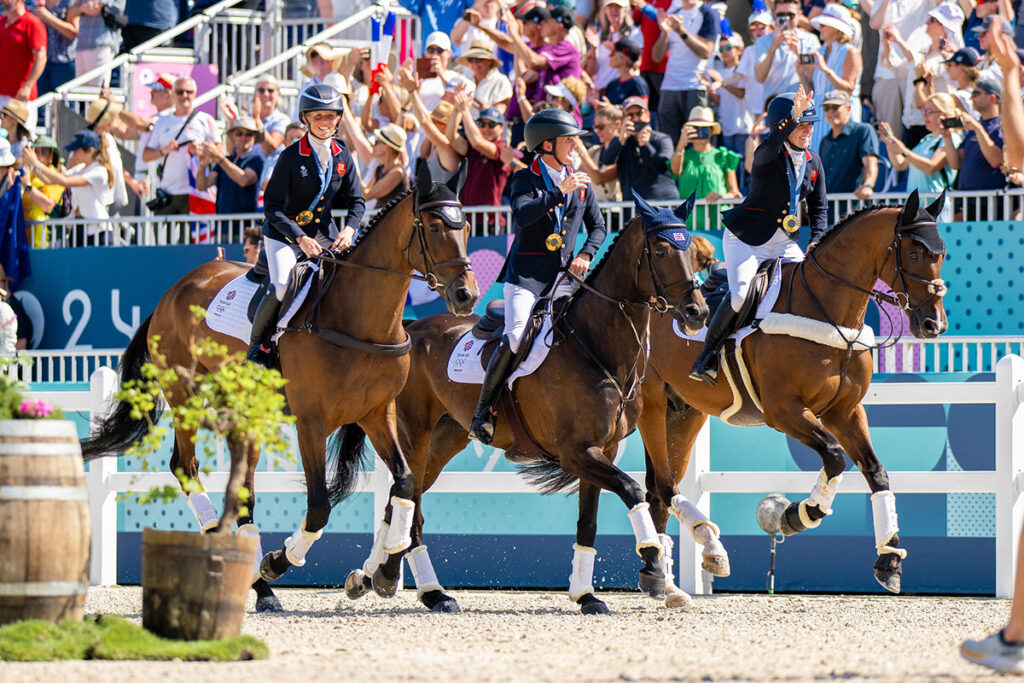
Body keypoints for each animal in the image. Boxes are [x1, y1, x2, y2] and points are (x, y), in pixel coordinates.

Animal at [82, 162, 480, 612]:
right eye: (433, 225)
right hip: (186, 396)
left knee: (243, 488)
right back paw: (237, 558)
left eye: (466, 226)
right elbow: (320, 506)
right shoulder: (311, 421)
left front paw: (385, 570)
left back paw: (260, 587)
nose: (466, 295)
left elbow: (406, 486)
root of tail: (173, 292)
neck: (359, 317)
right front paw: (277, 561)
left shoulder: (379, 414)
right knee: (185, 466)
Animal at [343, 196, 711, 614]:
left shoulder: (602, 450)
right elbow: (632, 490)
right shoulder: (576, 452)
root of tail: (410, 328)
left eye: (691, 253)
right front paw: (651, 564)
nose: (698, 313)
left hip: (446, 437)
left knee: (403, 496)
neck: (593, 345)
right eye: (662, 251)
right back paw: (403, 581)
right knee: (408, 497)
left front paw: (586, 595)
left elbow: (588, 522)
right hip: (414, 433)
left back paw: (378, 578)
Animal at [633, 190, 949, 597]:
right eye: (912, 253)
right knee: (660, 483)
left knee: (661, 486)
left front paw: (889, 559)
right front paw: (796, 515)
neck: (828, 311)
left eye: (941, 255)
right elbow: (834, 456)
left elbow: (875, 472)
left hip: (685, 413)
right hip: (653, 406)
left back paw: (663, 576)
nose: (933, 324)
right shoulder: (785, 411)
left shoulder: (845, 411)